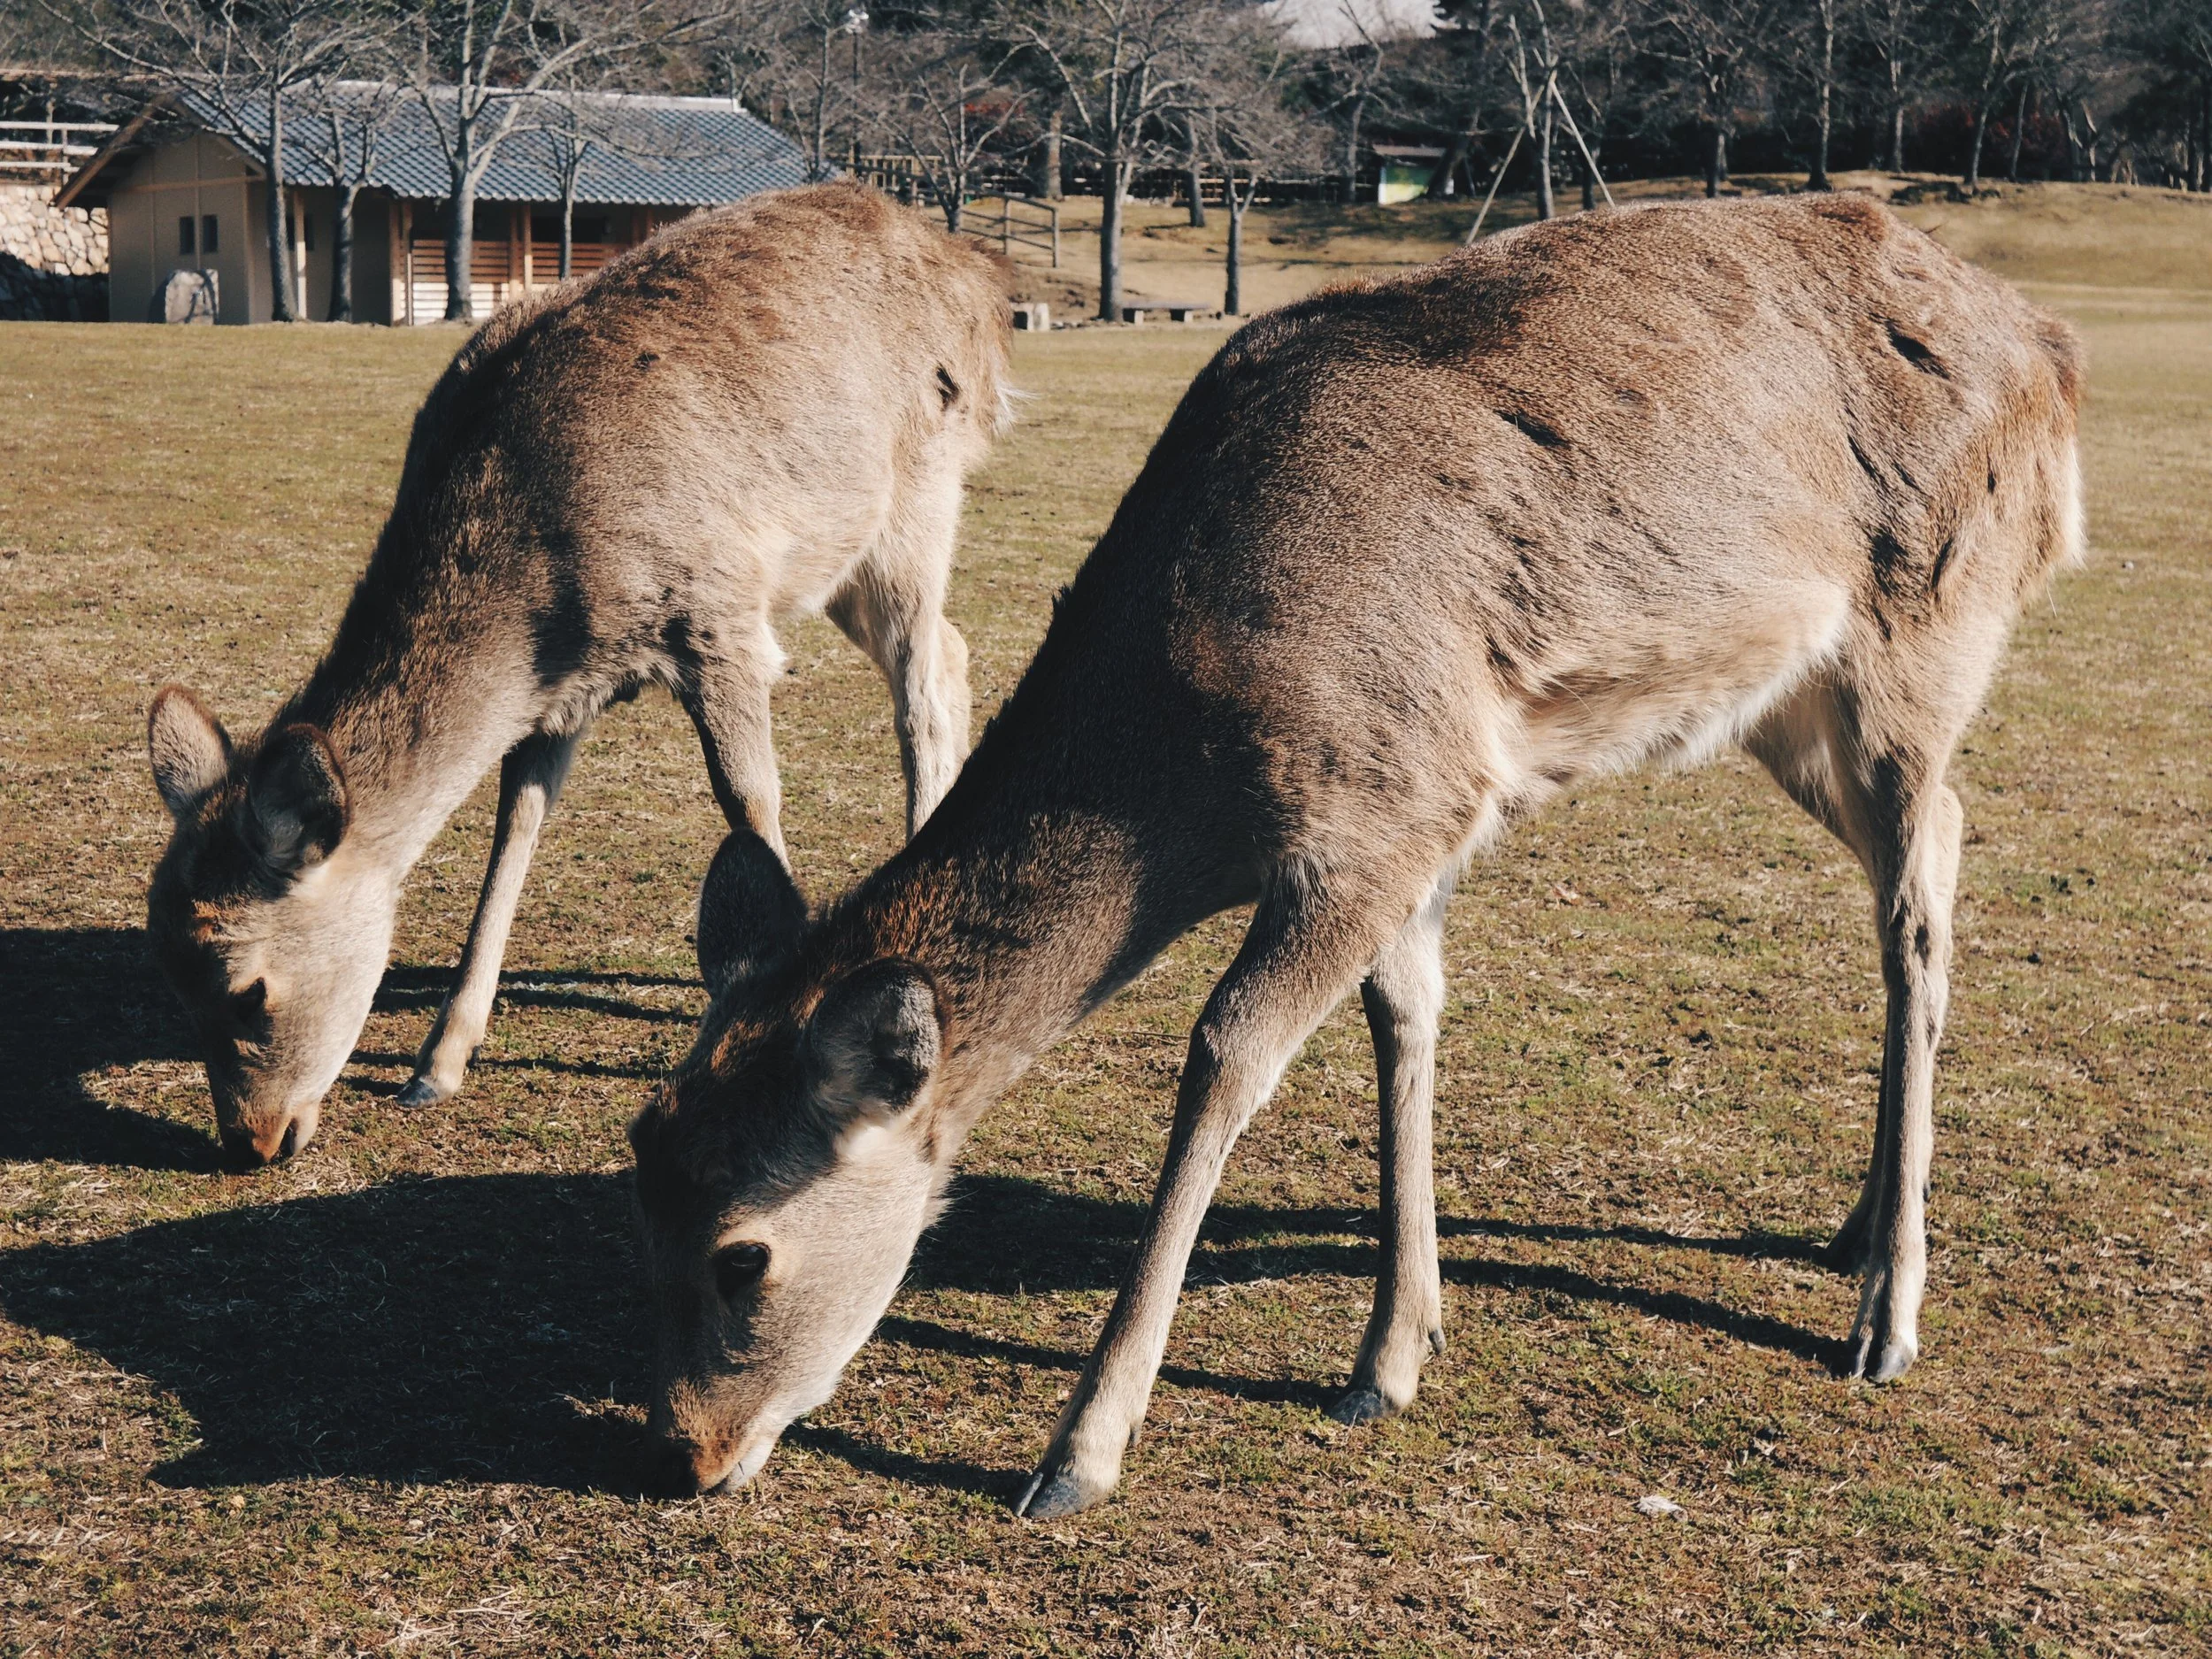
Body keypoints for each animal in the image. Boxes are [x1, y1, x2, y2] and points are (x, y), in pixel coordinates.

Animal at [143, 183, 1012, 1170]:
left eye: (247, 988)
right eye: (169, 979)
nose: (250, 1140)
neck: (544, 597)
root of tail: (977, 278)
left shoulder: (717, 617)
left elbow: (748, 804)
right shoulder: (562, 693)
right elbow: (514, 826)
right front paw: (436, 1063)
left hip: (917, 500)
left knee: (920, 682)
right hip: (839, 558)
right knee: (952, 651)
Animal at [627, 193, 2084, 1518]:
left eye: (745, 1255)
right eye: (641, 1175)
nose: (684, 1455)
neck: (1192, 744)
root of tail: (2052, 351)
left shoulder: (1381, 806)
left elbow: (1228, 1048)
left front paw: (1079, 1452)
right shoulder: (1422, 817)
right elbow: (1406, 1014)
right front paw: (1393, 1355)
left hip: (1924, 640)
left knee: (1920, 901)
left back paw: (1888, 1312)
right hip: (1784, 709)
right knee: (1942, 839)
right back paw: (1850, 1228)